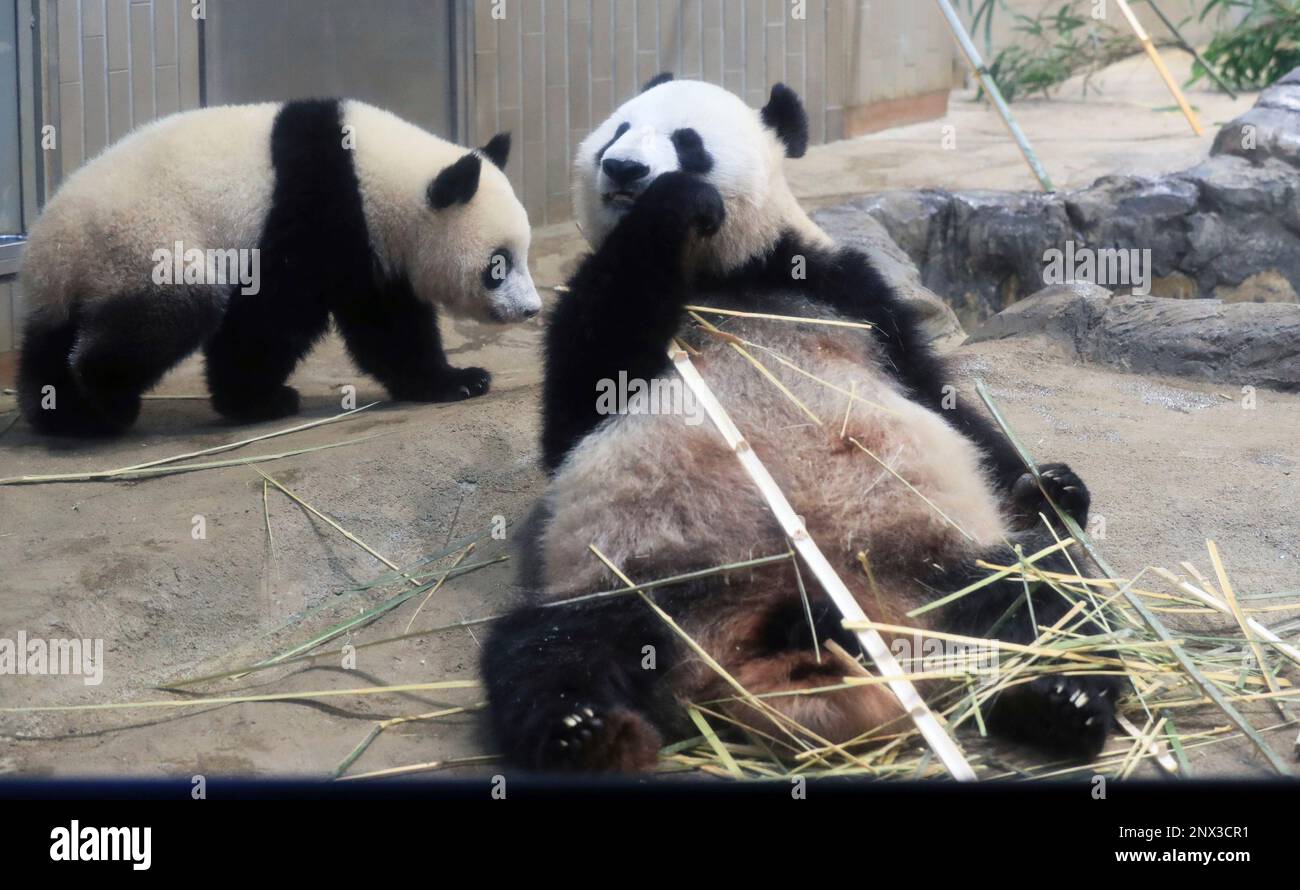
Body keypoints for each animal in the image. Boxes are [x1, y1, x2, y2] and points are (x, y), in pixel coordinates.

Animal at [17, 99, 541, 435]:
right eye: (498, 264)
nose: (531, 309)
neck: (379, 176)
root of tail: (48, 244)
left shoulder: (370, 249)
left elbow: (389, 325)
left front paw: (455, 379)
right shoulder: (315, 211)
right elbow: (272, 314)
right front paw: (258, 401)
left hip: (81, 276)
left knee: (52, 339)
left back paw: (67, 416)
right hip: (143, 241)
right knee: (169, 314)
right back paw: (110, 400)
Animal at [480, 75, 1121, 773]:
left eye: (687, 140)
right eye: (619, 131)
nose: (623, 168)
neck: (725, 270)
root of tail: (787, 630)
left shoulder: (848, 290)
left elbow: (937, 392)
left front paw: (1051, 487)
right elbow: (577, 403)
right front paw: (671, 207)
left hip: (944, 567)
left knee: (1050, 600)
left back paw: (1060, 699)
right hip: (643, 588)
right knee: (550, 649)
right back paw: (588, 732)